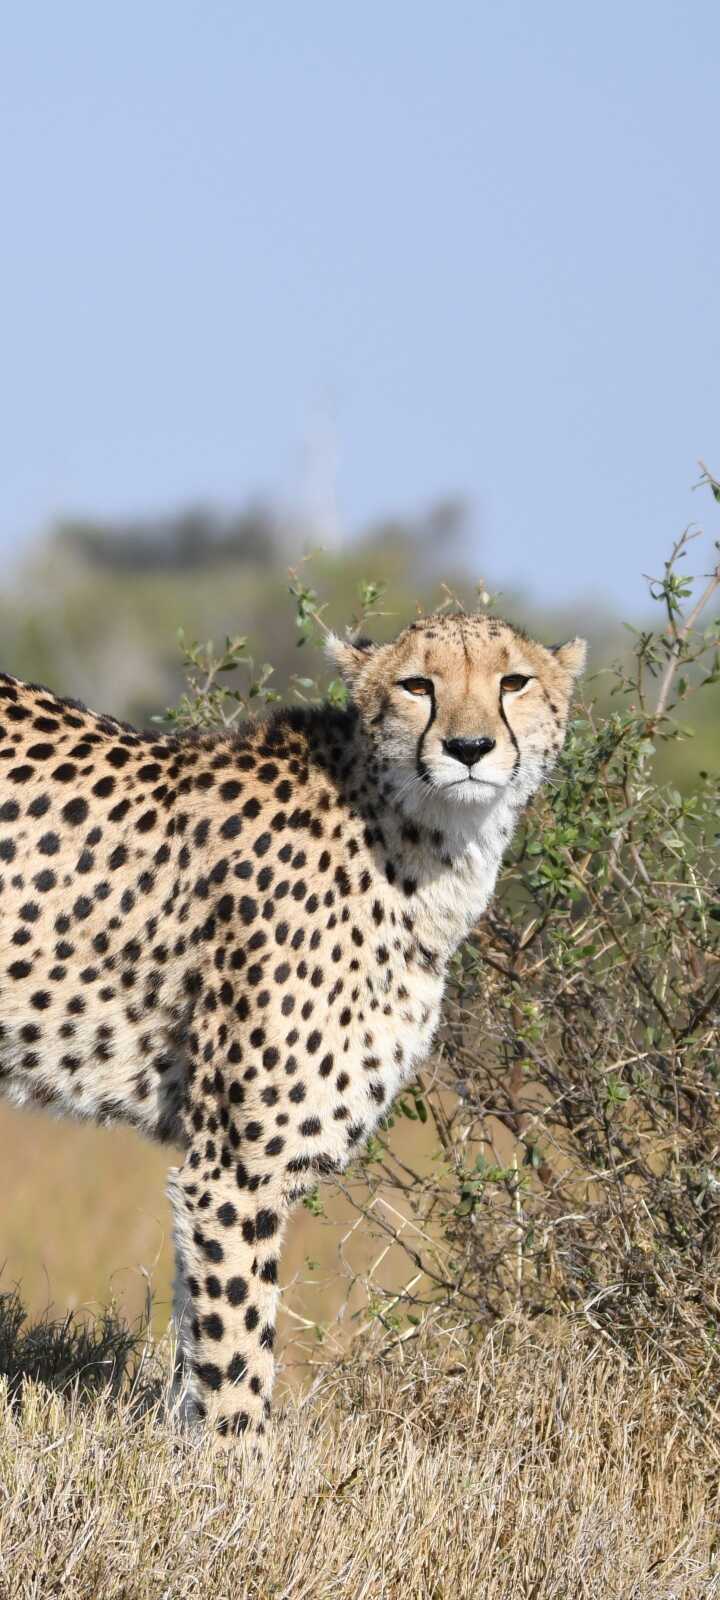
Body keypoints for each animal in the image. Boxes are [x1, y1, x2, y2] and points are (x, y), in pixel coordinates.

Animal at [0, 611, 585, 1443]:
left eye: (514, 681)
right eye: (418, 685)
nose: (469, 748)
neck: (417, 837)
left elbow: (200, 1349)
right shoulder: (235, 1170)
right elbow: (237, 1358)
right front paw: (238, 1473)